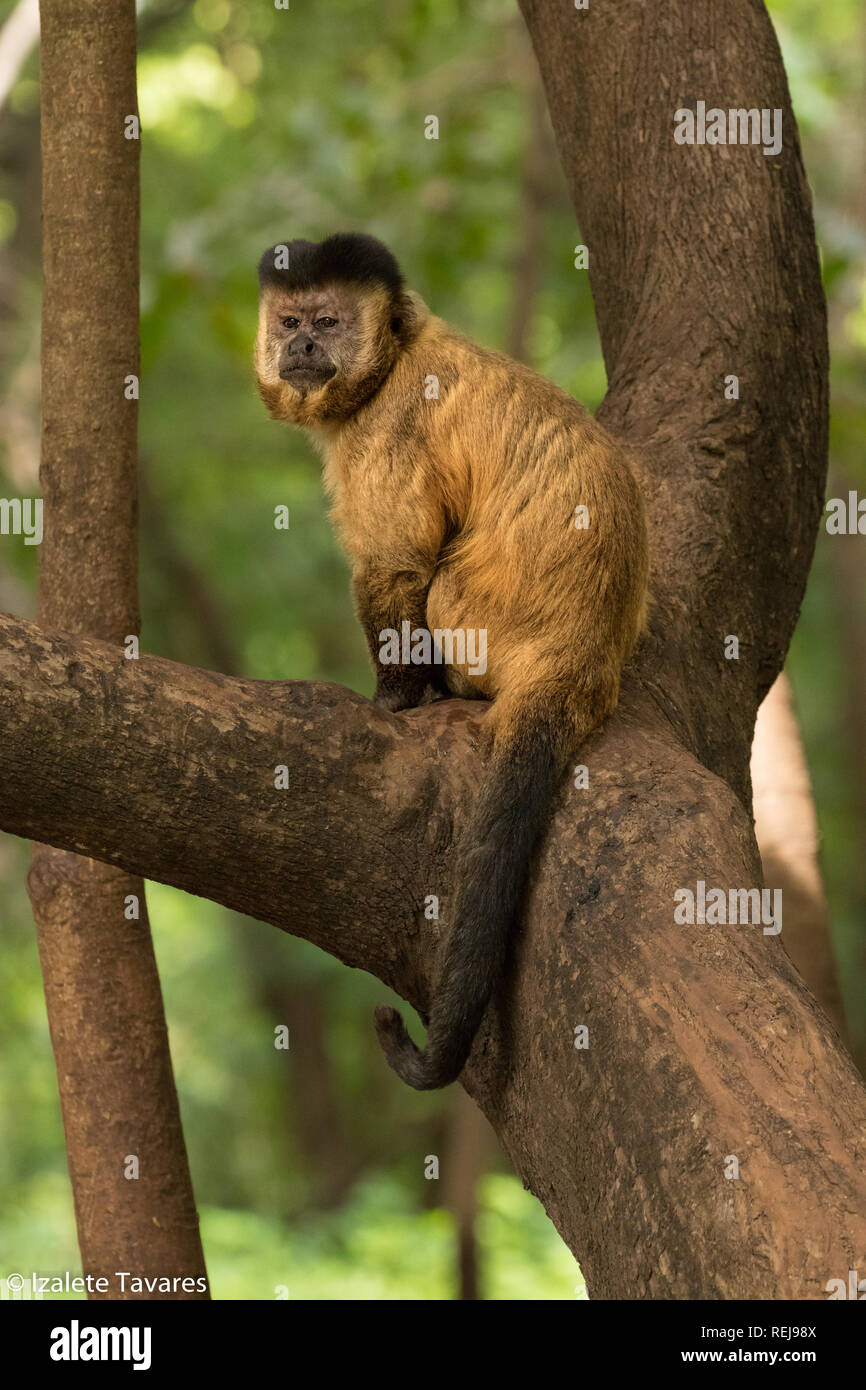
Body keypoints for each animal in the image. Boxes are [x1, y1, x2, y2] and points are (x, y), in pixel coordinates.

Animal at [254, 232, 649, 1090]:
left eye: (328, 322)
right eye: (291, 321)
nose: (302, 347)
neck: (395, 359)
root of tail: (580, 659)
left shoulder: (390, 426)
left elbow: (397, 566)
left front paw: (398, 700)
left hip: (484, 621)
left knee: (437, 582)